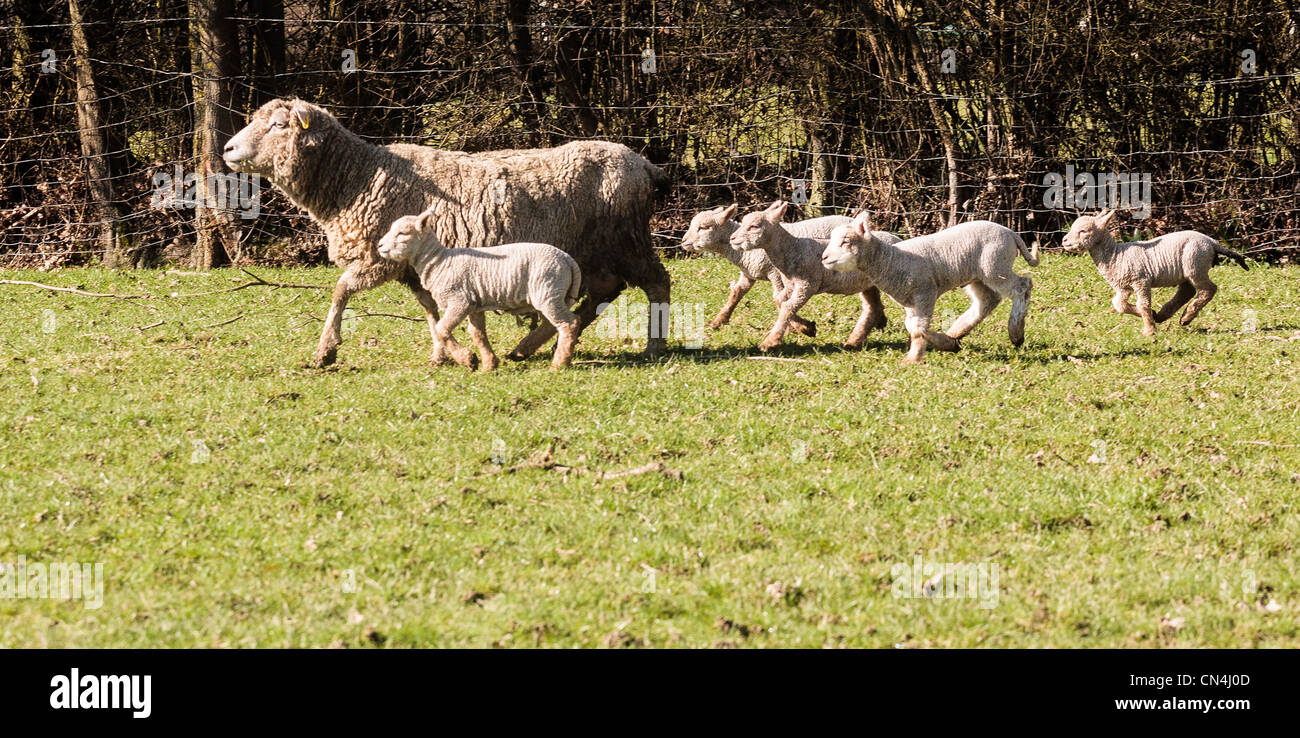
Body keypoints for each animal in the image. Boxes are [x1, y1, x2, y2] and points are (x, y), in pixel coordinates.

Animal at [377, 211, 582, 371]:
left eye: (402, 233)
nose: (379, 245)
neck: (439, 262)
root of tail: (568, 260)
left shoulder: (459, 300)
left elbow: (441, 328)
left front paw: (468, 359)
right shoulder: (474, 303)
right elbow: (477, 334)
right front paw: (489, 364)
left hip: (548, 291)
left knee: (569, 323)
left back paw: (559, 364)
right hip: (551, 294)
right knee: (551, 325)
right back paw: (523, 351)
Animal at [680, 204, 855, 335]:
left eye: (704, 227)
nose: (683, 241)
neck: (740, 253)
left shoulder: (775, 273)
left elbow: (778, 299)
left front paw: (798, 327)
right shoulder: (748, 273)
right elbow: (736, 293)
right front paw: (718, 321)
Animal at [727, 201, 898, 352]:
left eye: (754, 226)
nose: (732, 239)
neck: (793, 249)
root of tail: (895, 237)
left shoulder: (807, 284)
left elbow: (787, 307)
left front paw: (770, 342)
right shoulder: (791, 284)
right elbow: (780, 301)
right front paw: (806, 327)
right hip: (868, 284)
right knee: (872, 308)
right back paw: (854, 341)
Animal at [820, 212, 1038, 364]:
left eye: (846, 241)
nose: (823, 258)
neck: (891, 261)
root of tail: (1011, 233)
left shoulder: (925, 291)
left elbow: (918, 328)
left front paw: (913, 359)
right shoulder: (910, 300)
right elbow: (913, 326)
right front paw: (947, 344)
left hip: (995, 266)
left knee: (1022, 286)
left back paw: (1016, 332)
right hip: (979, 274)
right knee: (986, 300)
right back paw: (956, 332)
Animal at [1061, 209, 1249, 336]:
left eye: (1083, 231)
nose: (1064, 241)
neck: (1116, 255)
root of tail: (1211, 241)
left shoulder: (1141, 280)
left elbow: (1142, 304)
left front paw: (1149, 330)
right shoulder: (1123, 287)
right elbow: (1119, 305)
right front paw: (1152, 315)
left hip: (1196, 264)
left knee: (1208, 289)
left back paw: (1187, 316)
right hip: (1188, 271)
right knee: (1187, 291)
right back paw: (1167, 315)